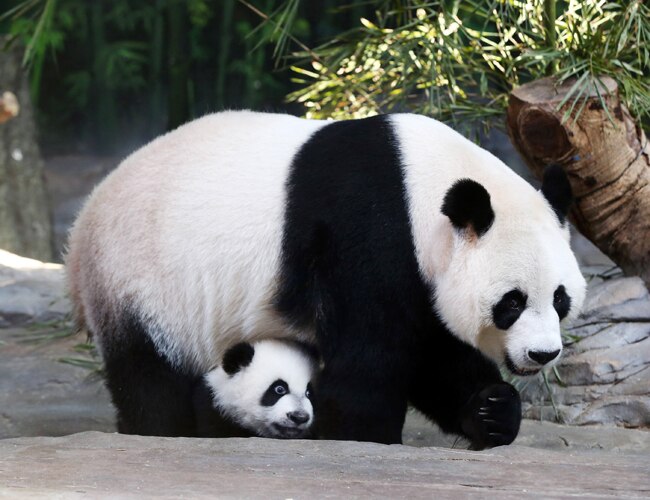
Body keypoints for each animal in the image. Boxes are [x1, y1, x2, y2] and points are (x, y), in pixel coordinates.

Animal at [66, 111, 586, 447]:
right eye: (512, 302)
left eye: (560, 300)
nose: (543, 354)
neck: (420, 186)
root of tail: (83, 222)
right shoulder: (366, 236)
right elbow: (369, 361)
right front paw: (364, 438)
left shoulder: (420, 277)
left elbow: (435, 354)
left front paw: (492, 411)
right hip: (142, 281)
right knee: (150, 376)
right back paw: (162, 432)